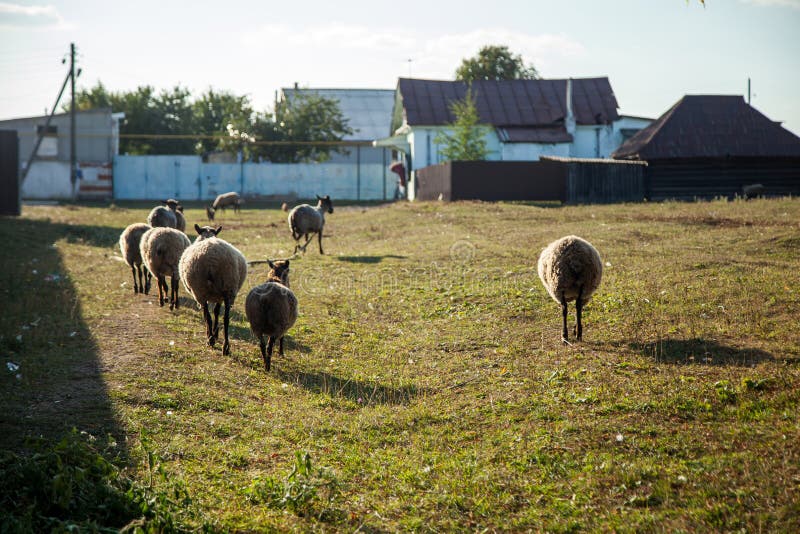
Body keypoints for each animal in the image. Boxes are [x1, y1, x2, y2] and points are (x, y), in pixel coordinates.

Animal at [179, 224, 248, 356]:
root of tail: (212, 259)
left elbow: (210, 315)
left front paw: (212, 335)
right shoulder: (219, 296)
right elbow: (216, 312)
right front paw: (215, 334)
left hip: (200, 290)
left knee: (207, 316)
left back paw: (210, 339)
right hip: (228, 288)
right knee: (226, 319)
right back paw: (226, 347)